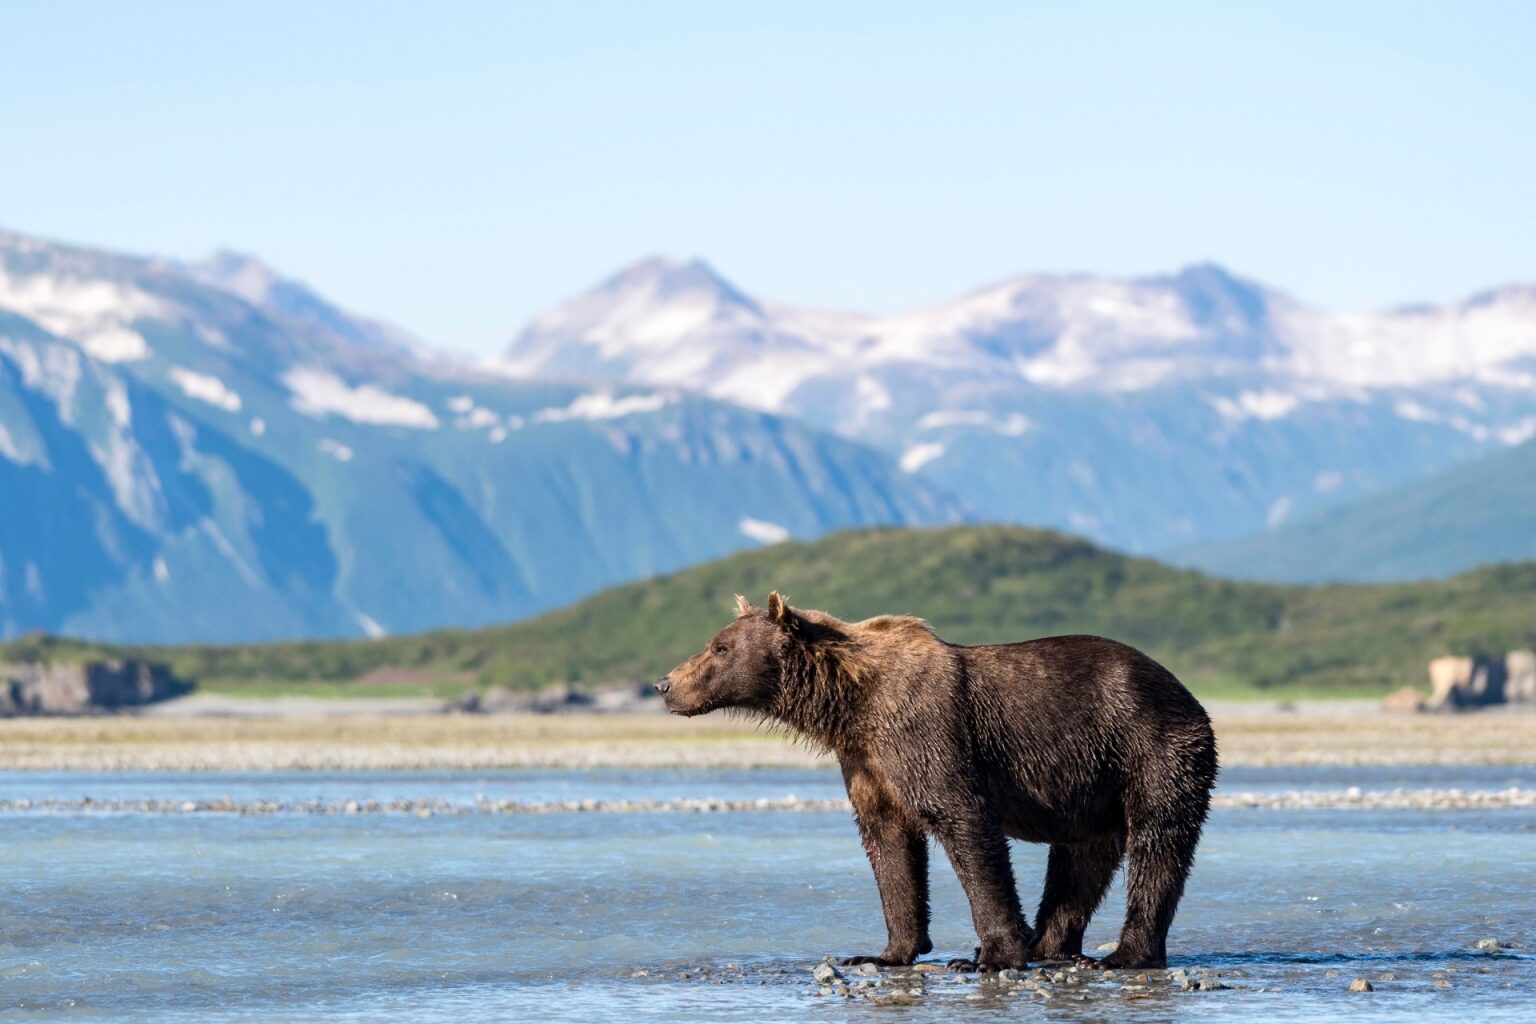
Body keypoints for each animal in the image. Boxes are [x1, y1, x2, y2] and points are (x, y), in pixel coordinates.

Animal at [657, 591, 1218, 972]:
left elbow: (963, 821)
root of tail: (1188, 694)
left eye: (720, 647)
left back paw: (1124, 953)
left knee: (1157, 844)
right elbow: (890, 846)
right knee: (1082, 860)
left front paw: (990, 955)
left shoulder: (925, 733)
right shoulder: (869, 762)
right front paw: (884, 952)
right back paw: (1051, 945)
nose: (666, 684)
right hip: (1093, 785)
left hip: (1151, 747)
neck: (851, 704)